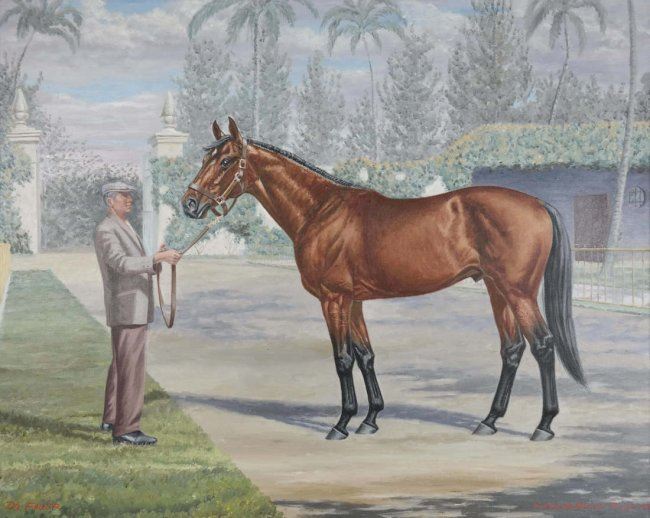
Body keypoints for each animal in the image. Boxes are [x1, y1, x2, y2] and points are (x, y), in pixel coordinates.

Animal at [181, 117, 586, 442]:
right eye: (205, 159)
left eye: (226, 161)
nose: (189, 204)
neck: (321, 211)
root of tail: (538, 204)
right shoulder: (354, 301)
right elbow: (366, 355)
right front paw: (370, 418)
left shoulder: (333, 300)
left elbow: (342, 358)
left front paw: (342, 423)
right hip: (496, 289)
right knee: (512, 349)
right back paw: (489, 421)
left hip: (519, 293)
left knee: (542, 345)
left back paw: (543, 426)